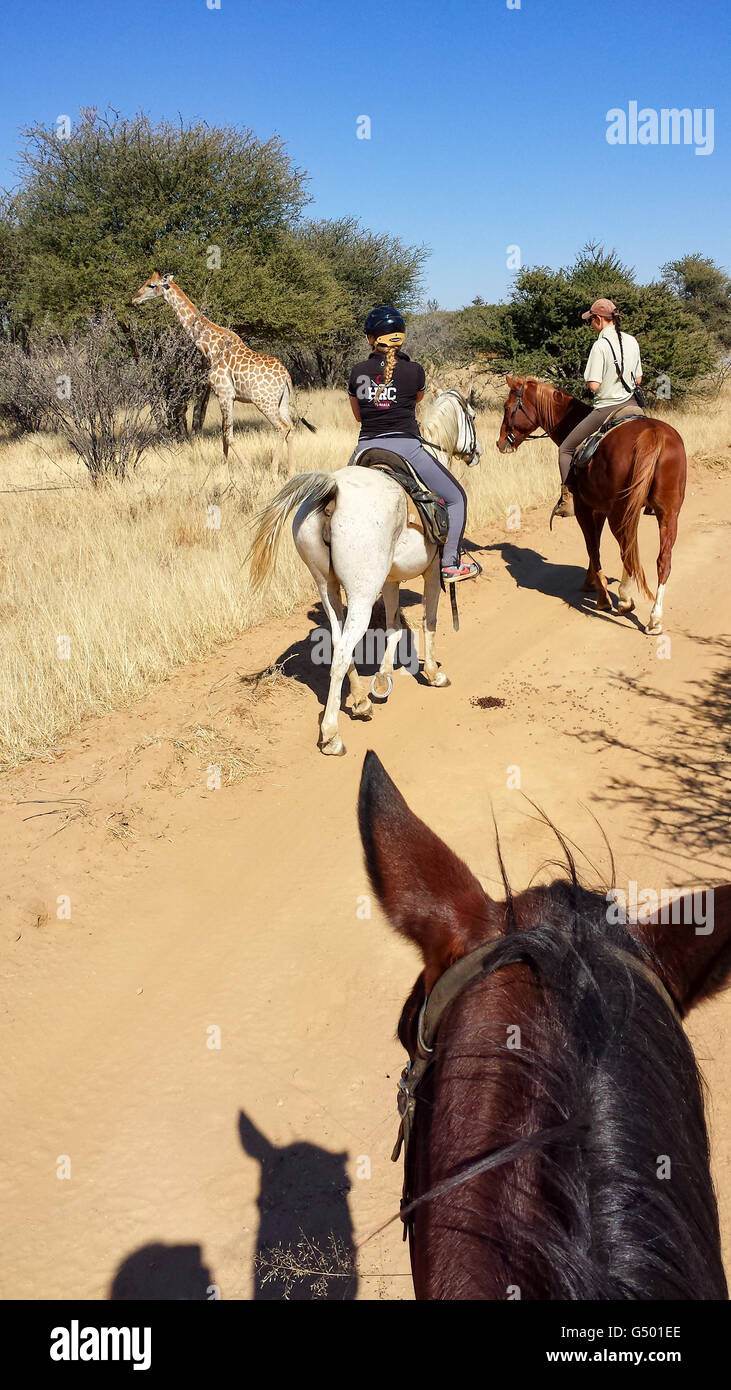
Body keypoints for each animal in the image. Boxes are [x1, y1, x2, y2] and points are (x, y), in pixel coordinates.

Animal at [248, 392, 481, 756]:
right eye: (472, 416)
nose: (477, 453)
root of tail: (333, 489)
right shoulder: (430, 573)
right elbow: (428, 620)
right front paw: (433, 674)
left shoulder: (390, 580)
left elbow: (393, 627)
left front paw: (382, 681)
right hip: (362, 593)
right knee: (344, 649)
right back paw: (331, 734)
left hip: (328, 588)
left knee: (338, 639)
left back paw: (359, 701)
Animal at [496, 376, 687, 635]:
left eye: (507, 408)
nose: (500, 443)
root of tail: (652, 435)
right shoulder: (603, 510)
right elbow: (596, 545)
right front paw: (593, 582)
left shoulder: (585, 509)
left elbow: (592, 546)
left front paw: (602, 597)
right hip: (667, 513)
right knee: (662, 559)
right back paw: (654, 619)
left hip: (620, 512)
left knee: (626, 550)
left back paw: (624, 600)